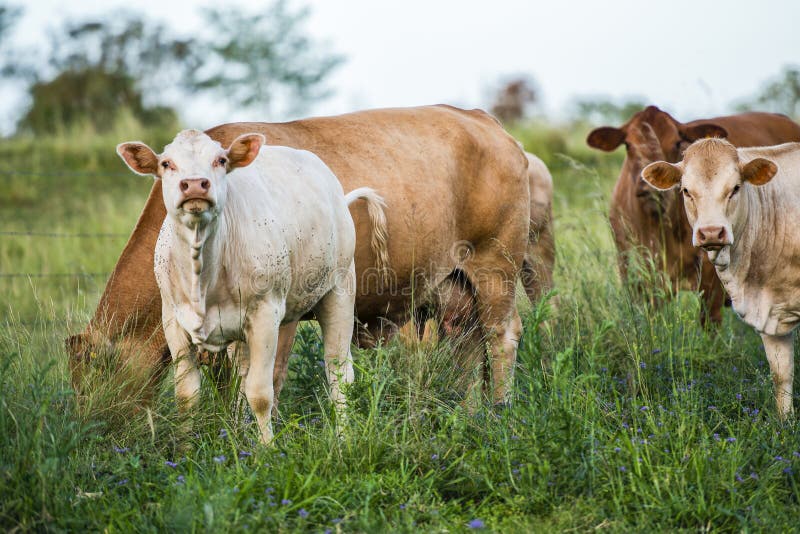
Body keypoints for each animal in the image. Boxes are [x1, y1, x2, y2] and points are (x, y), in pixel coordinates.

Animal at [67, 105, 530, 408]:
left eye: (95, 380)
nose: (93, 431)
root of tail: (480, 118)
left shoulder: (278, 311)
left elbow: (264, 380)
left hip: (495, 267)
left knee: (501, 336)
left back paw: (498, 414)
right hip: (454, 287)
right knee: (467, 346)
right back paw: (468, 415)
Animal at [116, 129, 389, 443]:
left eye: (220, 160)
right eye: (166, 164)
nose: (195, 184)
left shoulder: (265, 314)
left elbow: (260, 394)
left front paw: (267, 448)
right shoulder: (173, 320)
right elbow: (187, 396)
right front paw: (185, 449)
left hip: (339, 289)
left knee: (338, 370)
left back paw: (343, 438)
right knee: (242, 375)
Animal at [642, 138, 800, 417]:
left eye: (735, 188)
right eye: (686, 191)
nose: (711, 232)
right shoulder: (771, 313)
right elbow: (781, 375)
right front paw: (785, 422)